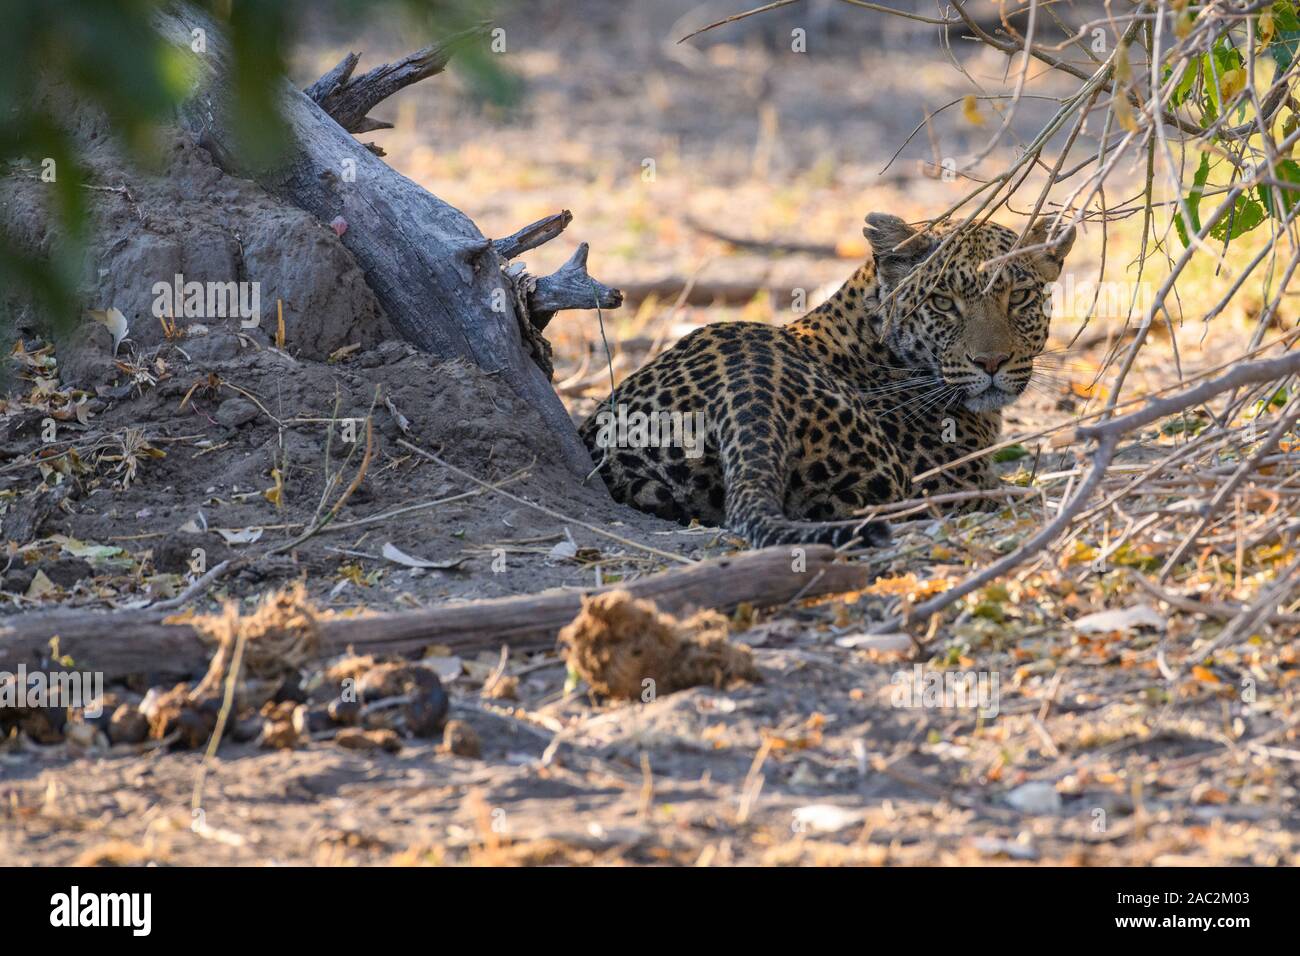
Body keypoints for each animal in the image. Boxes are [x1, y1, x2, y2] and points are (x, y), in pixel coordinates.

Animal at [579, 212, 1076, 549]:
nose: (991, 362)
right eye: (942, 302)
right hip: (887, 474)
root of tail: (741, 386)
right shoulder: (964, 478)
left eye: (1020, 297)